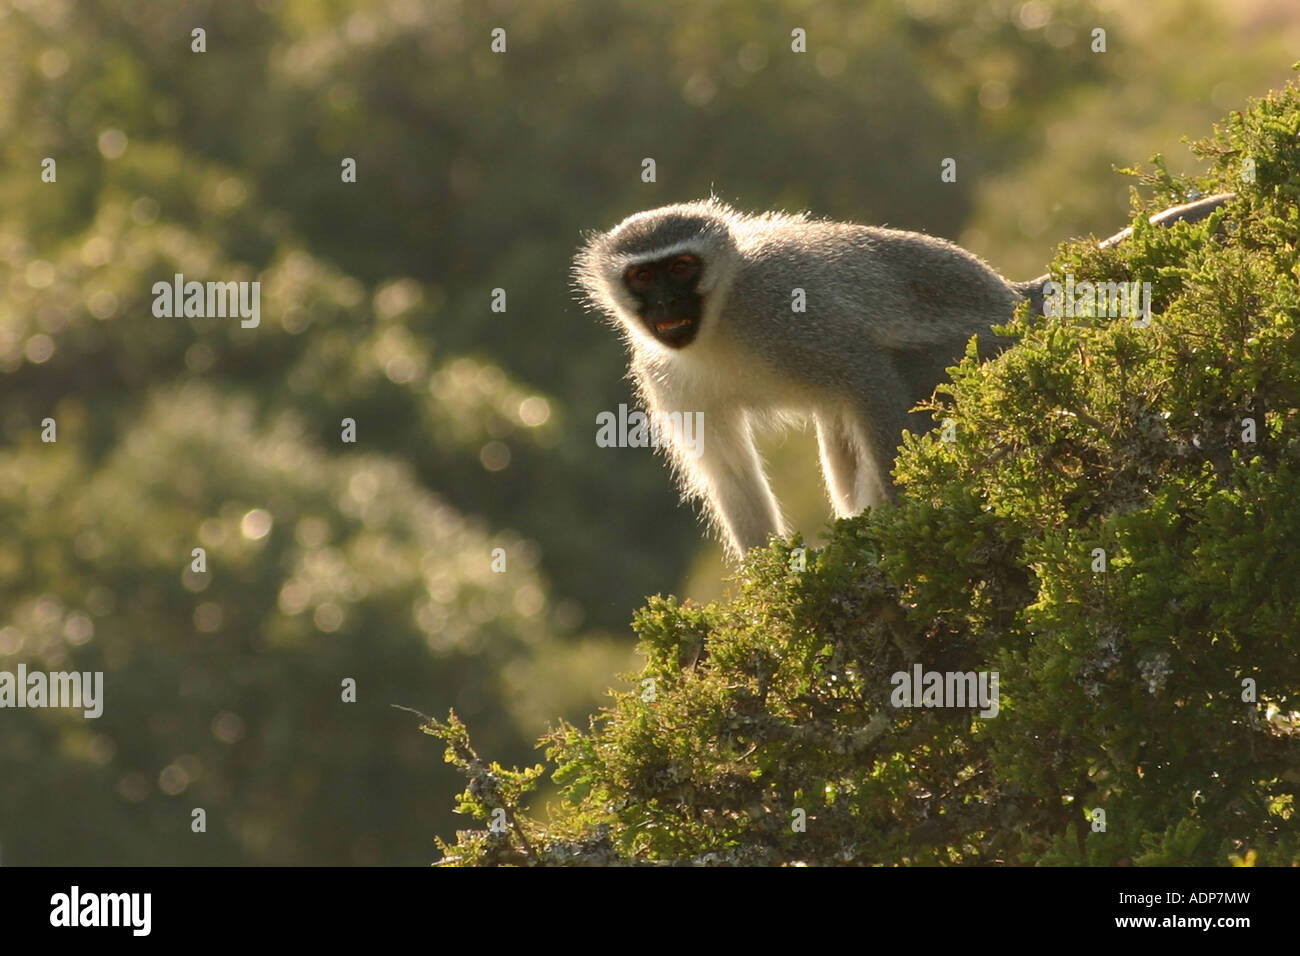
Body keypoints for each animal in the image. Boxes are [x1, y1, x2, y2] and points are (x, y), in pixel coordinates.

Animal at [574, 192, 1234, 559]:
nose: (665, 306)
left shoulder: (790, 313)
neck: (717, 323)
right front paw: (770, 590)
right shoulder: (665, 375)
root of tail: (1011, 299)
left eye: (682, 267)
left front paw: (897, 531)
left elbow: (864, 372)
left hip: (971, 357)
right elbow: (728, 470)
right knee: (835, 422)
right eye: (643, 277)